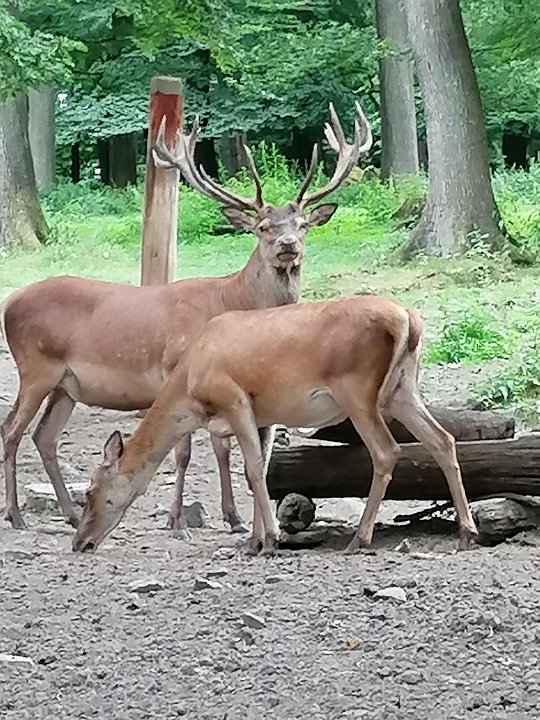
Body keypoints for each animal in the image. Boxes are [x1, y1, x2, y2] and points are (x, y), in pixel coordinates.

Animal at [0, 102, 372, 536]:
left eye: (302, 225)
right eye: (263, 227)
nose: (287, 245)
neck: (232, 299)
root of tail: (9, 302)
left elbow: (226, 450)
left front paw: (233, 518)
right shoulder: (177, 369)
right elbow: (186, 453)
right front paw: (177, 519)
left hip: (66, 385)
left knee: (44, 436)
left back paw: (71, 514)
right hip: (35, 368)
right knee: (12, 430)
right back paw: (16, 515)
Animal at [72, 293, 479, 556]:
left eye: (90, 491)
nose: (78, 542)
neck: (190, 386)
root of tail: (409, 319)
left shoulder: (233, 397)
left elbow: (253, 470)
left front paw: (269, 540)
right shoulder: (264, 415)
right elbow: (260, 471)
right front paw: (252, 540)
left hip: (357, 390)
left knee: (386, 450)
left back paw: (360, 539)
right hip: (402, 389)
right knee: (442, 440)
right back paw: (467, 532)